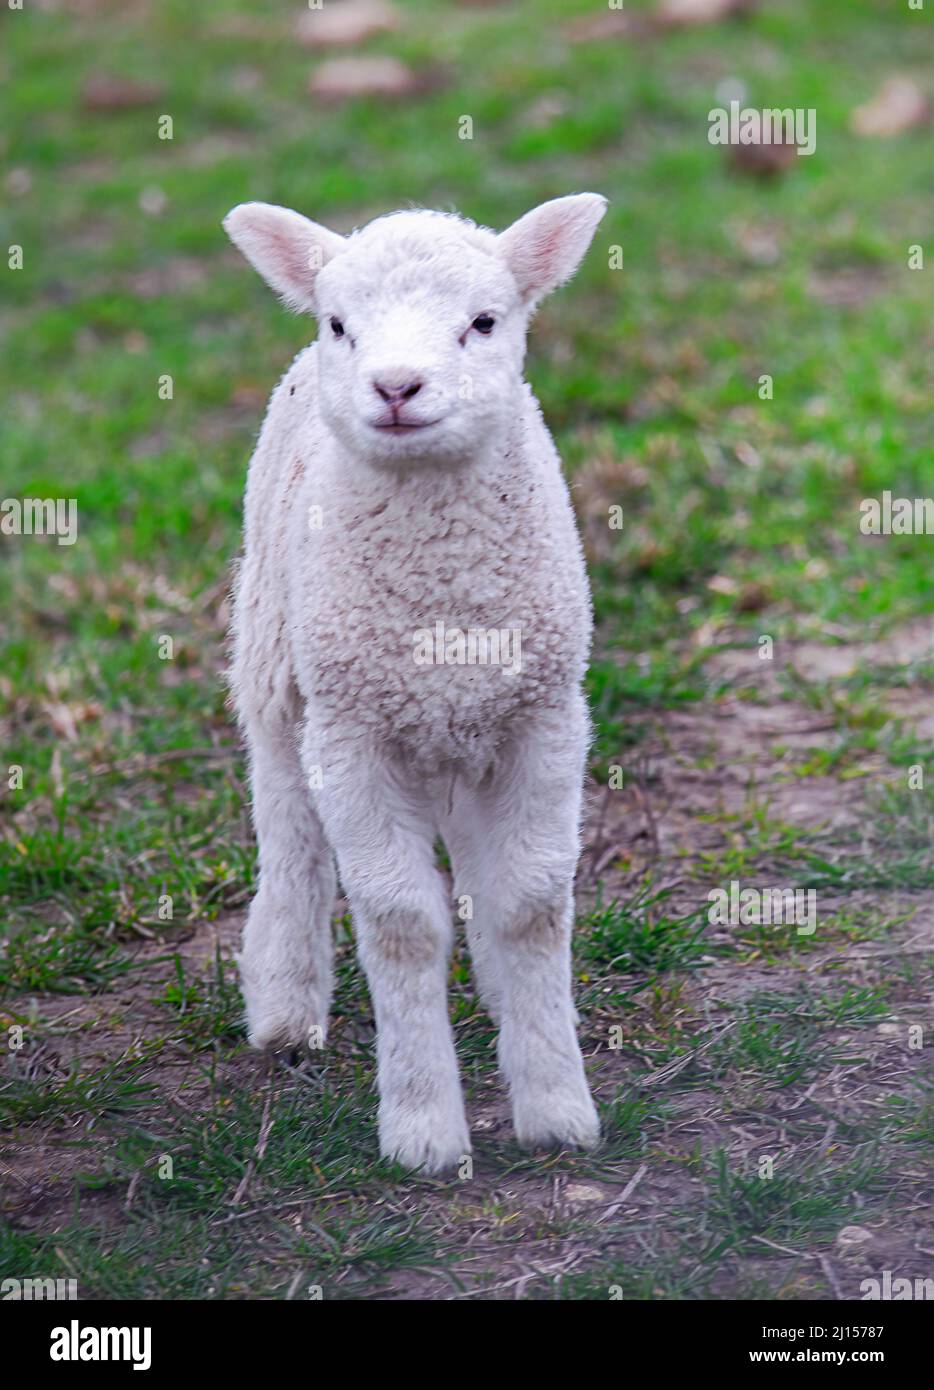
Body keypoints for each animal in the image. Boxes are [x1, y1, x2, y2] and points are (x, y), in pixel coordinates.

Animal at [224, 193, 608, 1173]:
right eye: (338, 324)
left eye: (485, 322)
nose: (396, 388)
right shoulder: (353, 732)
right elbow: (400, 925)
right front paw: (424, 1128)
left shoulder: (545, 717)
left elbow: (529, 907)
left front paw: (556, 1104)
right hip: (278, 673)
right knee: (290, 836)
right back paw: (284, 1006)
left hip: (469, 727)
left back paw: (507, 999)